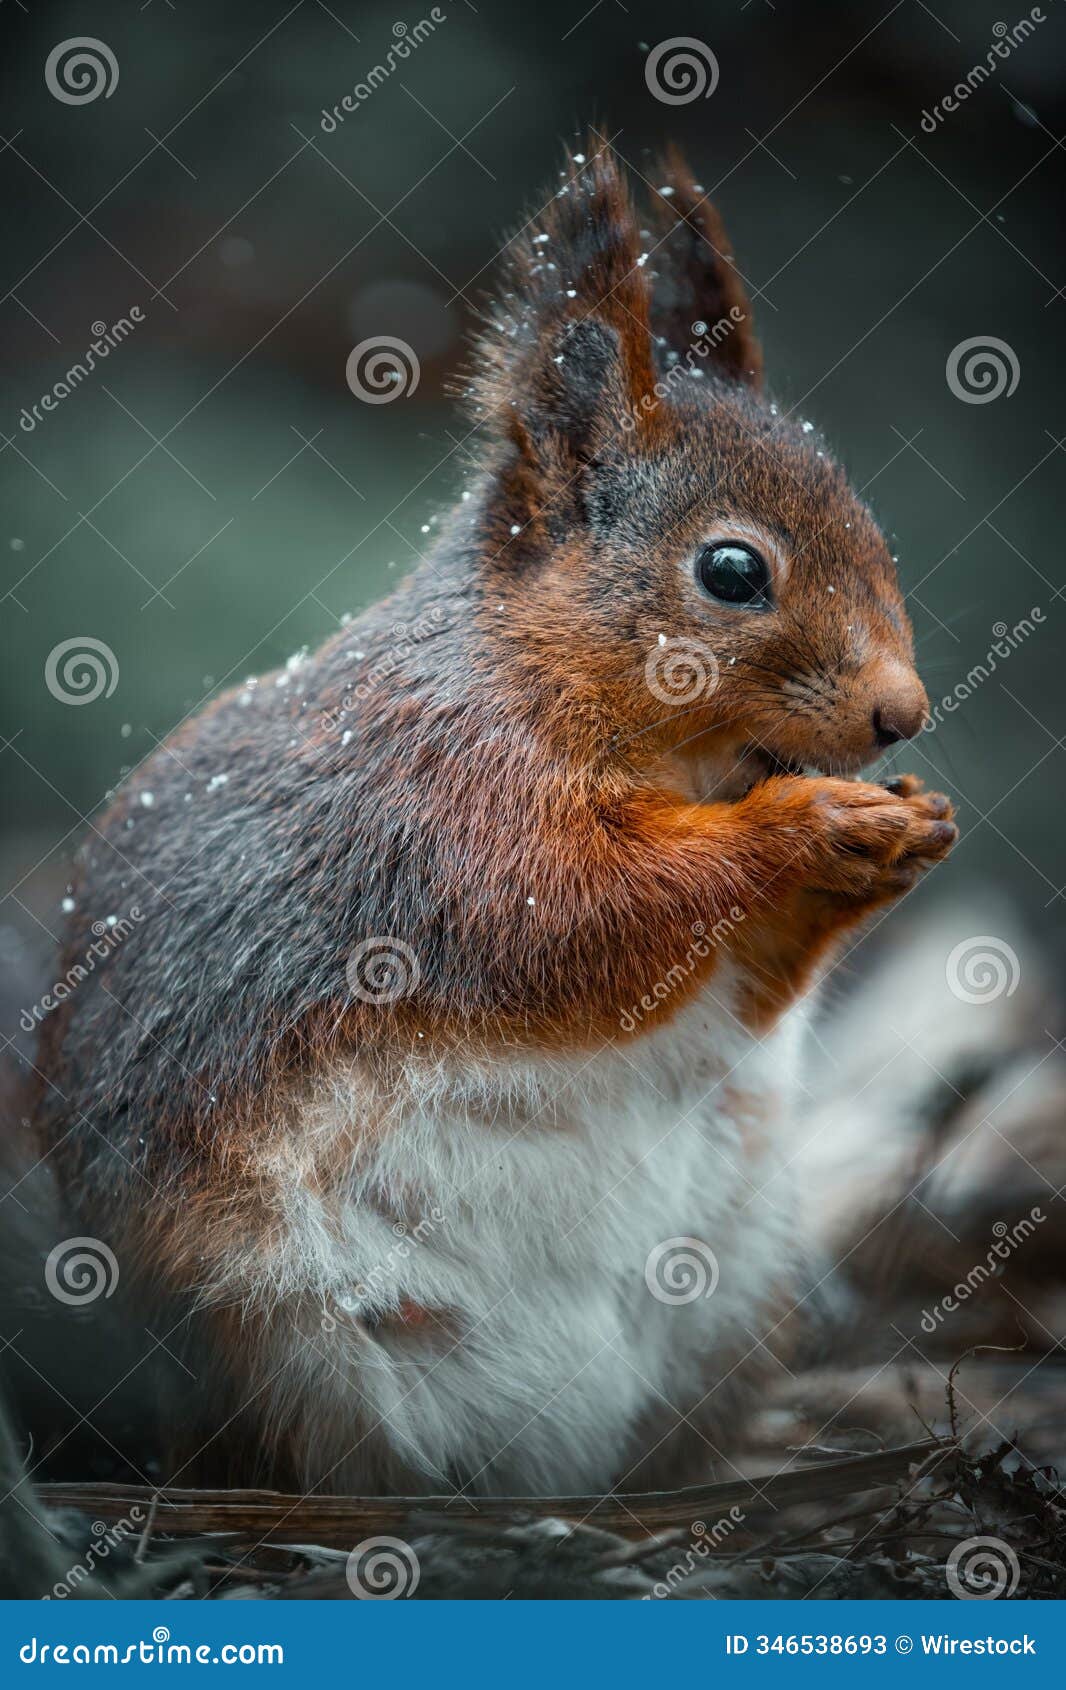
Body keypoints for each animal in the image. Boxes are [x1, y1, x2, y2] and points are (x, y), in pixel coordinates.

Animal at [32, 141, 956, 1498]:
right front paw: (804, 824)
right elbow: (577, 923)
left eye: (872, 520)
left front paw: (897, 836)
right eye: (732, 572)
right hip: (271, 1338)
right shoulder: (445, 815)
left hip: (728, 1305)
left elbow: (735, 985)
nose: (903, 712)